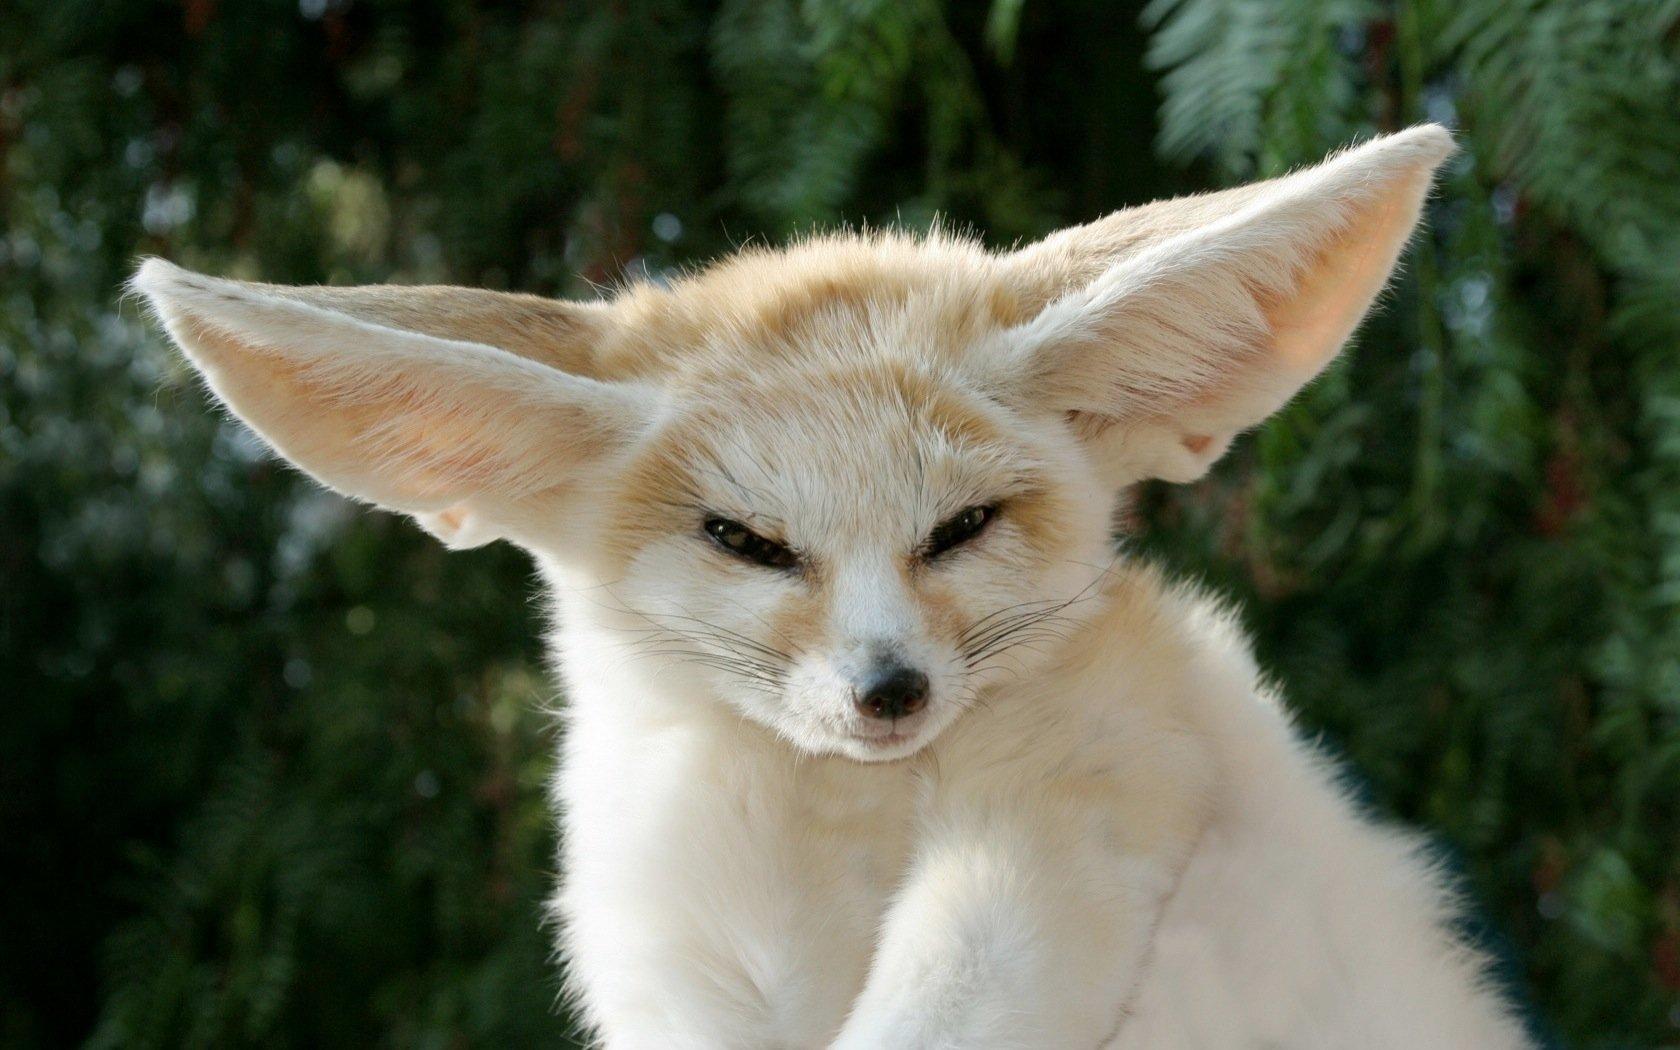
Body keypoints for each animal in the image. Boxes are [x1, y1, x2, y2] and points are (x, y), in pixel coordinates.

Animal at [134, 124, 1532, 1048]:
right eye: (747, 541)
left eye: (961, 528)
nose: (889, 691)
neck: (830, 834)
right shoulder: (689, 966)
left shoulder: (1067, 831)